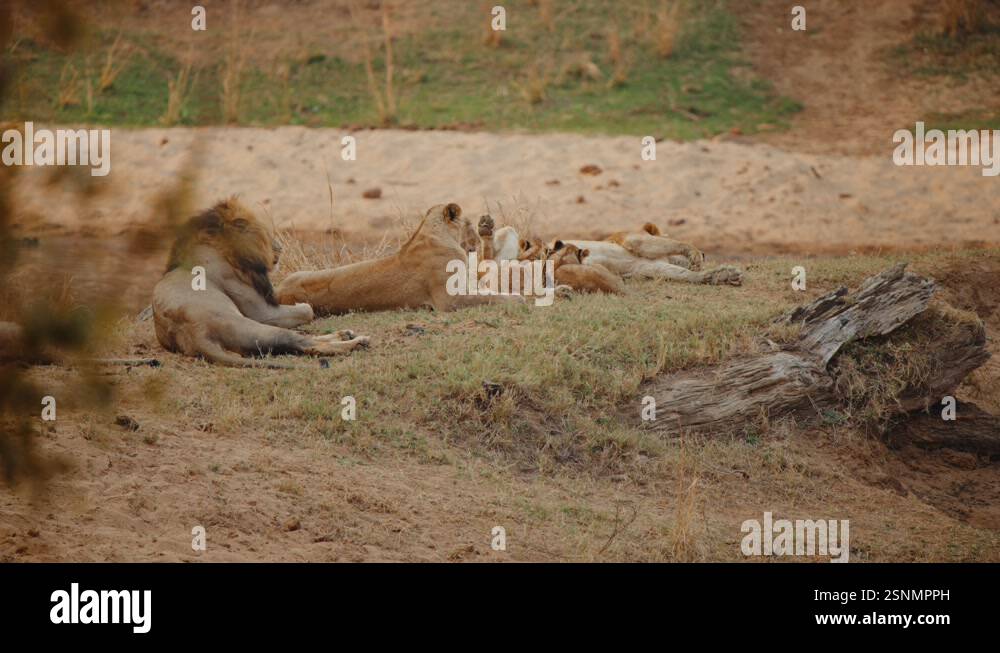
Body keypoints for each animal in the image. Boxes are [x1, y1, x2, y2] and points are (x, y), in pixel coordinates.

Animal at [152, 197, 369, 368]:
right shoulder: (261, 312)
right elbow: (307, 310)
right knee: (304, 343)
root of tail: (195, 332)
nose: (280, 247)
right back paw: (356, 343)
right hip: (251, 326)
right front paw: (303, 305)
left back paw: (345, 335)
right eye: (265, 234)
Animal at [276, 203, 524, 315]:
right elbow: (488, 297)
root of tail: (279, 293)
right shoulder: (449, 300)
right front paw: (516, 298)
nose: (476, 238)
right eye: (469, 224)